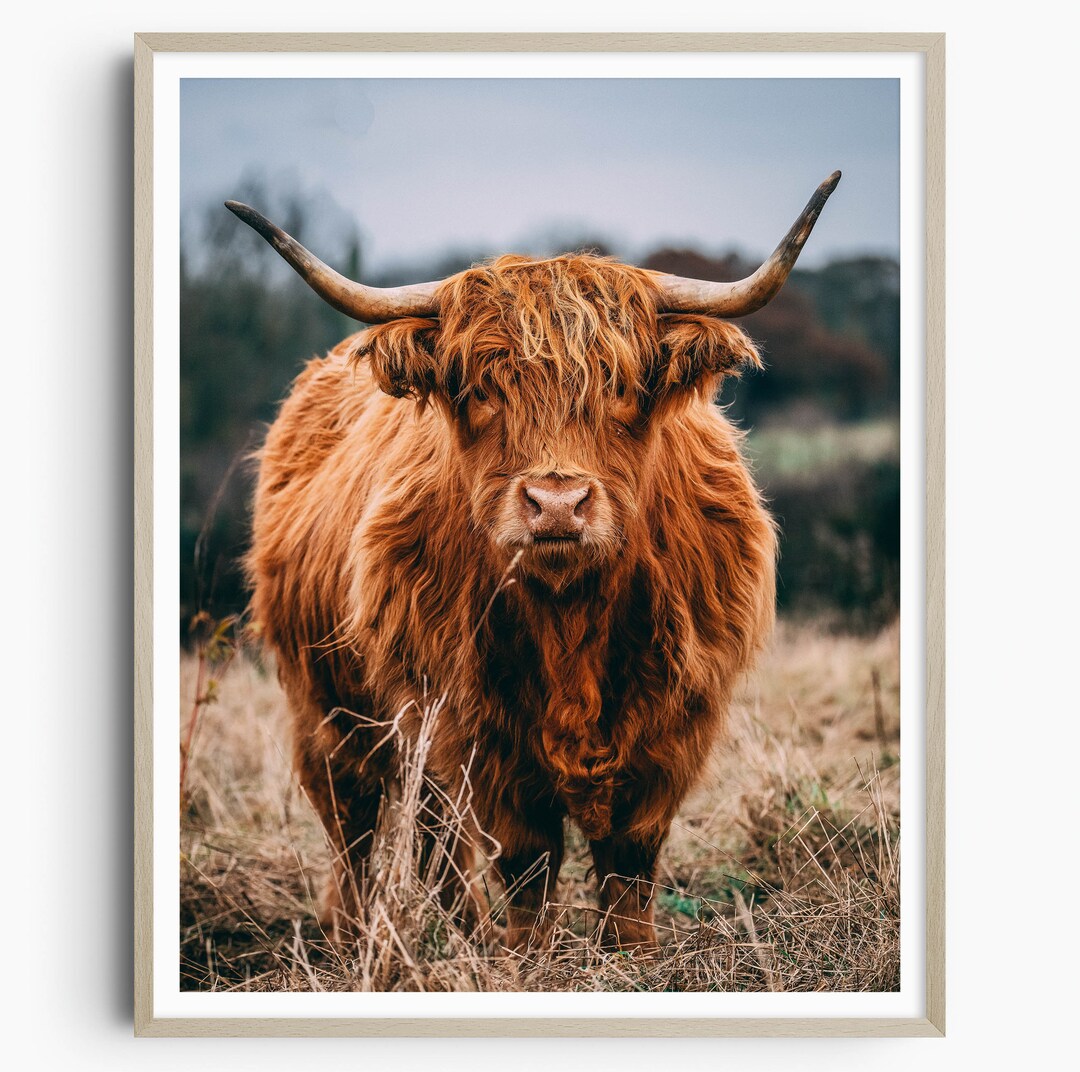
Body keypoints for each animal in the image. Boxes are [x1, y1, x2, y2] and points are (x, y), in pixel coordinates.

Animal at [230, 172, 840, 952]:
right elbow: (526, 860)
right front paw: (525, 956)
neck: (570, 615)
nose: (556, 504)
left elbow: (631, 856)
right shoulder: (477, 727)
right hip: (326, 703)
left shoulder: (673, 724)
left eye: (622, 388)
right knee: (356, 821)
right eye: (482, 390)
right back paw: (353, 933)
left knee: (432, 831)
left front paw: (634, 956)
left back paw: (456, 925)